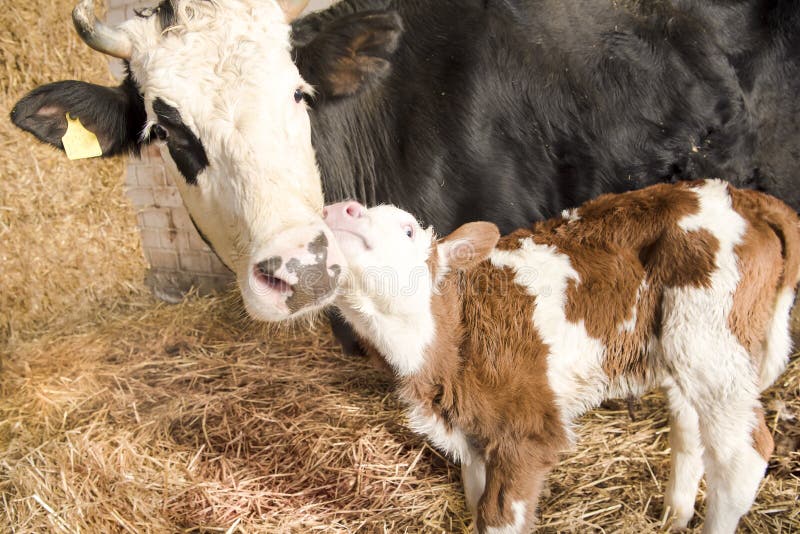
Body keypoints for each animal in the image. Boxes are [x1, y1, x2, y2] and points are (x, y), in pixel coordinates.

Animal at [322, 179, 800, 533]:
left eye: (407, 230)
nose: (342, 209)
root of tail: (746, 197)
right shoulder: (474, 433)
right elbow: (477, 503)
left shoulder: (526, 431)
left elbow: (498, 517)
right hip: (681, 345)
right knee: (690, 427)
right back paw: (674, 515)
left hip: (711, 341)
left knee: (741, 455)